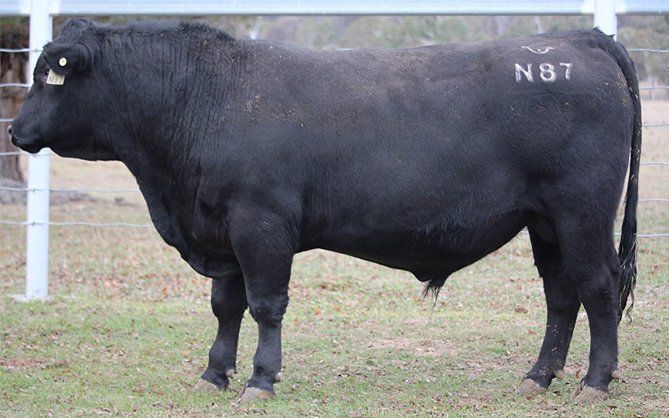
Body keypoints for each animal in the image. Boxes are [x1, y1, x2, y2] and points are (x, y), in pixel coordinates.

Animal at [9, 19, 641, 404]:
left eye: (50, 77)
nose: (15, 130)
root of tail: (574, 39)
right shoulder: (222, 231)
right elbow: (225, 306)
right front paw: (215, 373)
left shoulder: (261, 224)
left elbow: (265, 305)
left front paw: (261, 379)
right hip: (545, 222)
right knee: (561, 295)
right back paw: (538, 377)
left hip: (581, 212)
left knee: (598, 287)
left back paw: (596, 381)